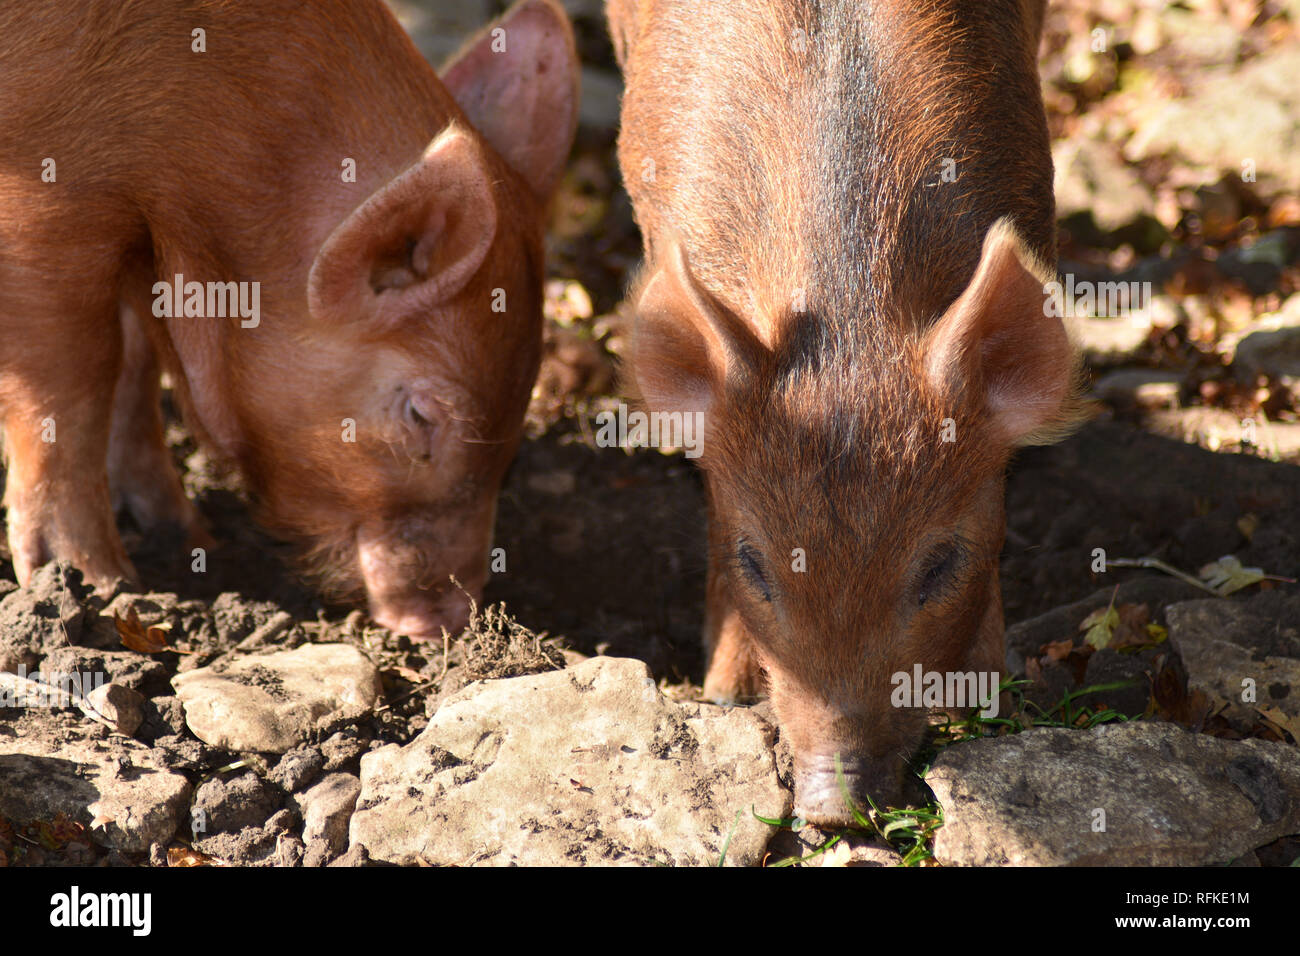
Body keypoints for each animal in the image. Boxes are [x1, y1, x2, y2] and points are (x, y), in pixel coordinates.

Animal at [0, 0, 579, 637]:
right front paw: (99, 581)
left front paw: (189, 536)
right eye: (421, 414)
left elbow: (134, 364)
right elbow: (74, 381)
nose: (453, 619)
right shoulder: (46, 204)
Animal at [608, 0, 1080, 824]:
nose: (833, 804)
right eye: (754, 563)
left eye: (940, 563)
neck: (845, 321)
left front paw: (985, 699)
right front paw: (723, 695)